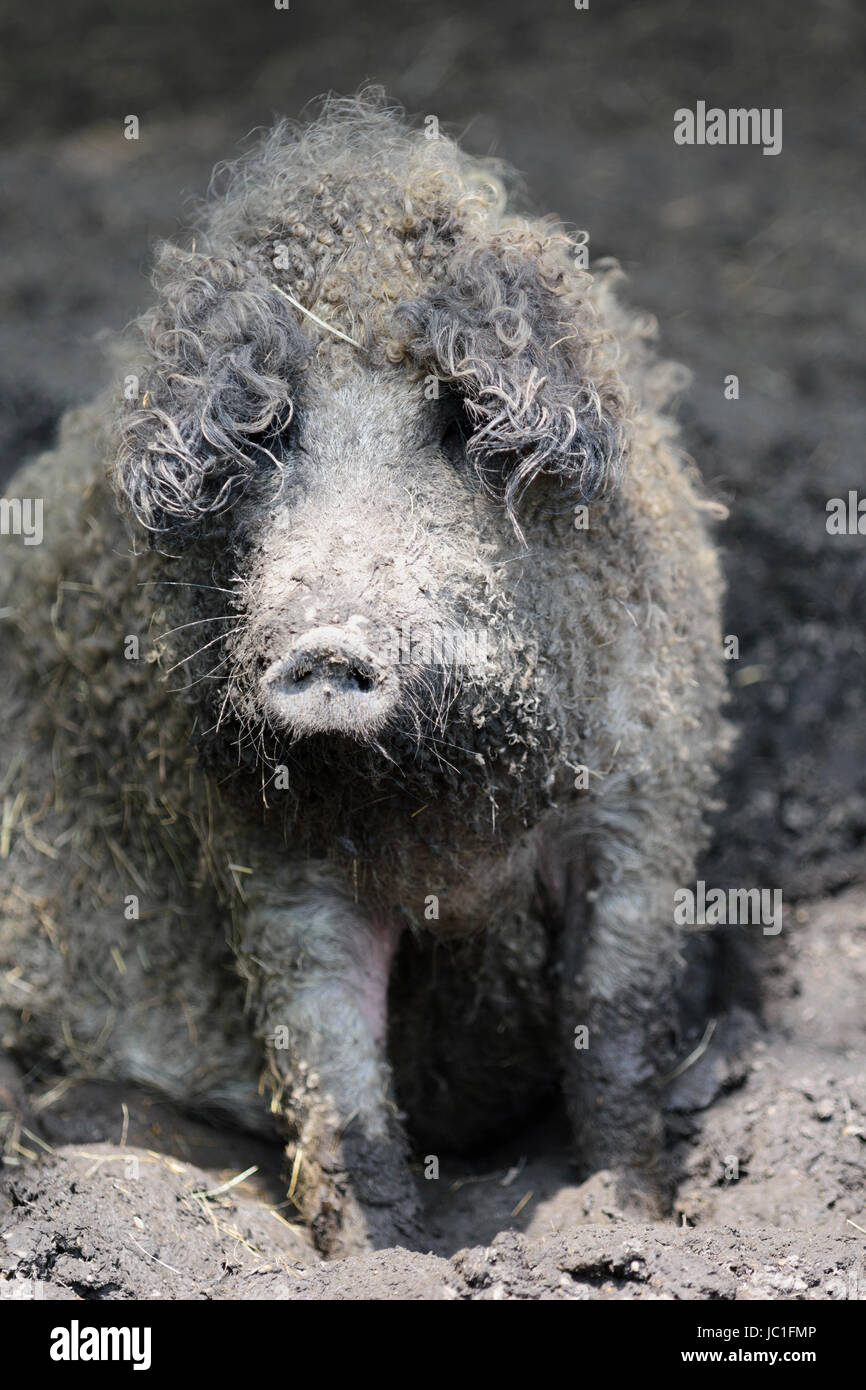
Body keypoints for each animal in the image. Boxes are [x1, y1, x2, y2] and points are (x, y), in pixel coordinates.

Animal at [0, 90, 731, 1256]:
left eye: (457, 423)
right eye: (262, 438)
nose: (324, 649)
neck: (445, 819)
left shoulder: (646, 799)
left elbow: (615, 1029)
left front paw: (631, 1213)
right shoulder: (261, 847)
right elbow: (330, 1068)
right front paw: (379, 1256)